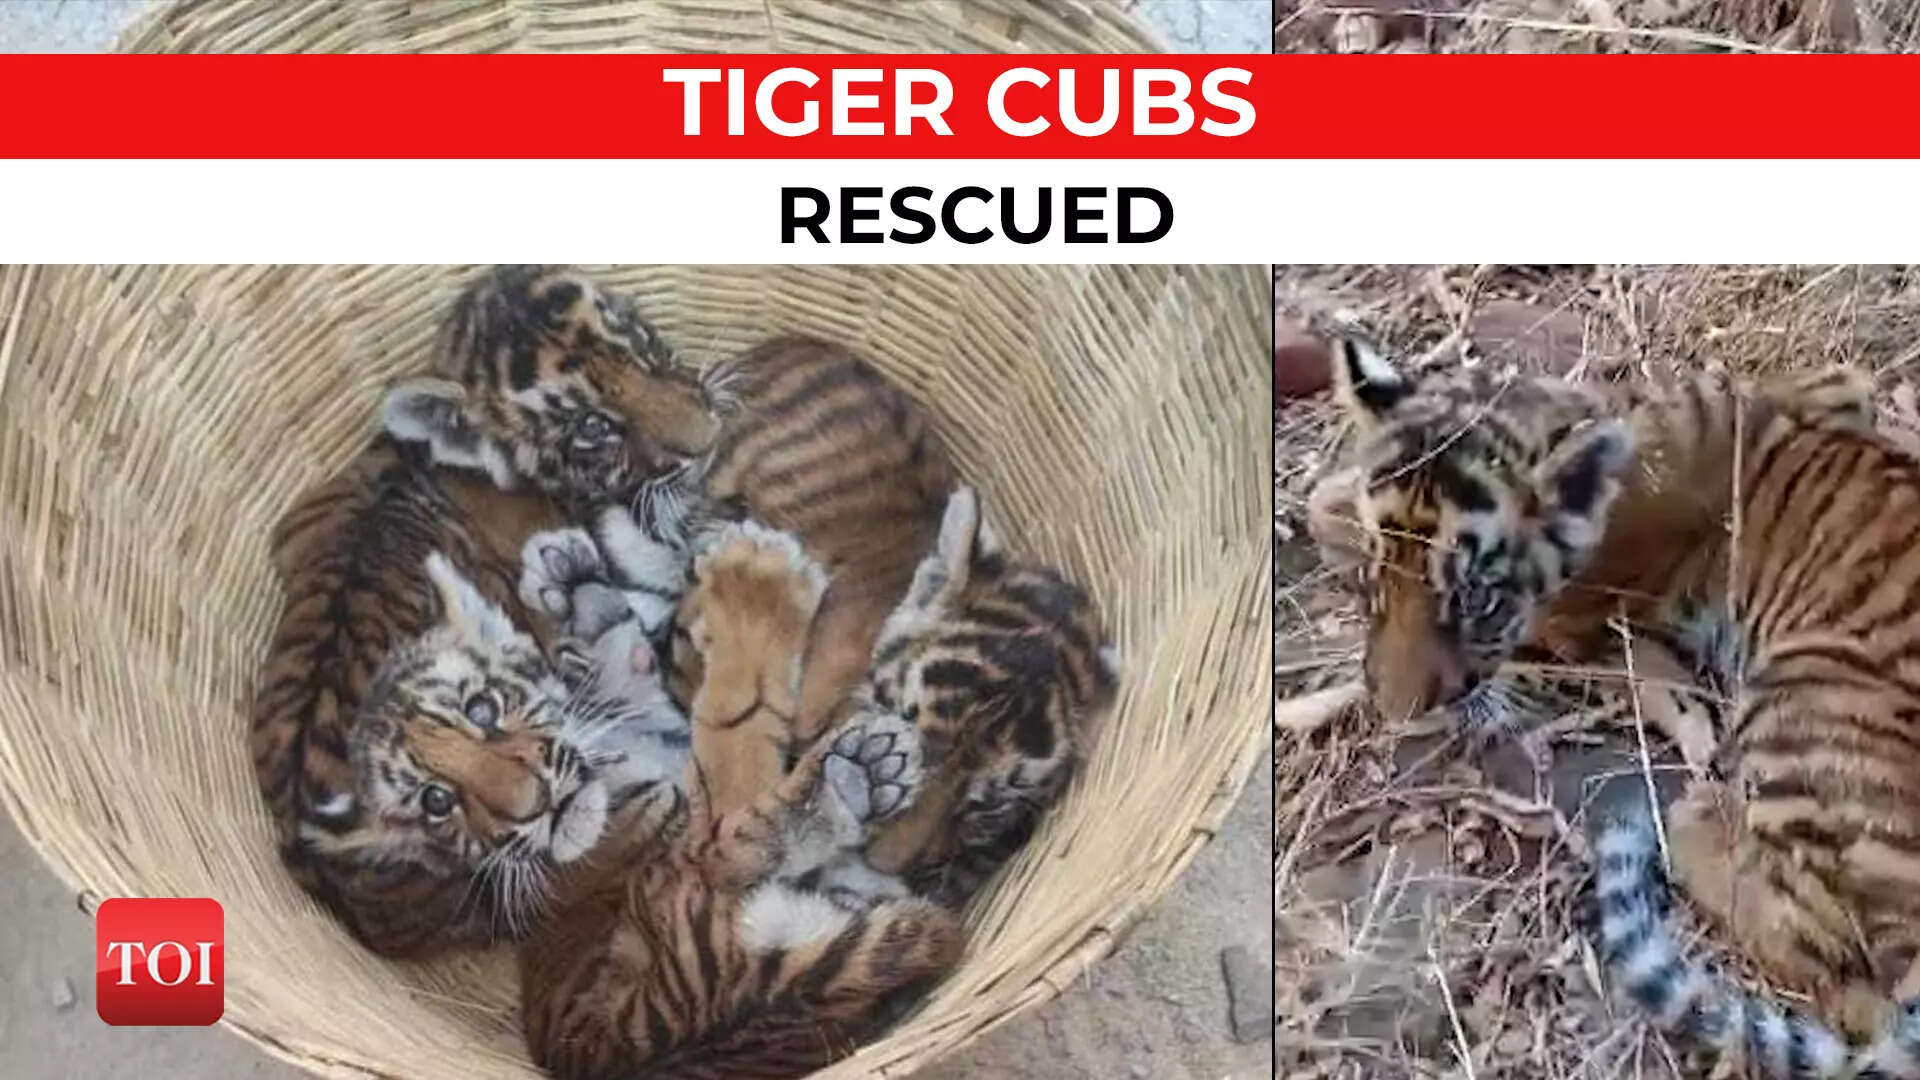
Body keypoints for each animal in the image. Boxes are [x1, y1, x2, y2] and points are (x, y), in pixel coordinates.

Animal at [1310, 334, 1920, 1075]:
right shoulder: (1826, 388)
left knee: (1830, 956)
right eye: (1380, 574)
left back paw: (1691, 810)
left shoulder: (1565, 621)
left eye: (1474, 597)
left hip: (1805, 692)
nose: (1398, 715)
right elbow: (1328, 499)